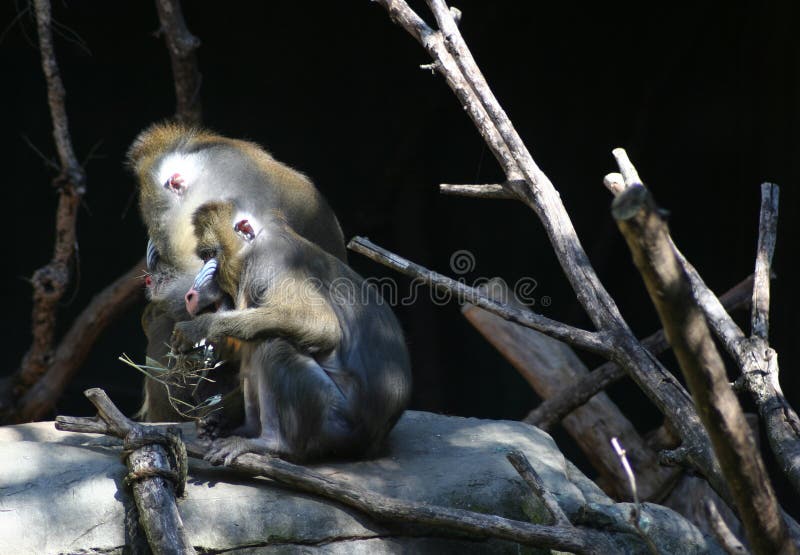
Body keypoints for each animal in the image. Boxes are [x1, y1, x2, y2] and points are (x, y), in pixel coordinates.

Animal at [170, 200, 412, 463]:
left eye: (209, 255)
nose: (190, 295)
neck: (254, 246)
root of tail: (373, 441)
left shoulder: (271, 264)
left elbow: (320, 325)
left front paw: (200, 327)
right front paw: (218, 417)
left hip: (333, 420)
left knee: (273, 344)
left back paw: (271, 443)